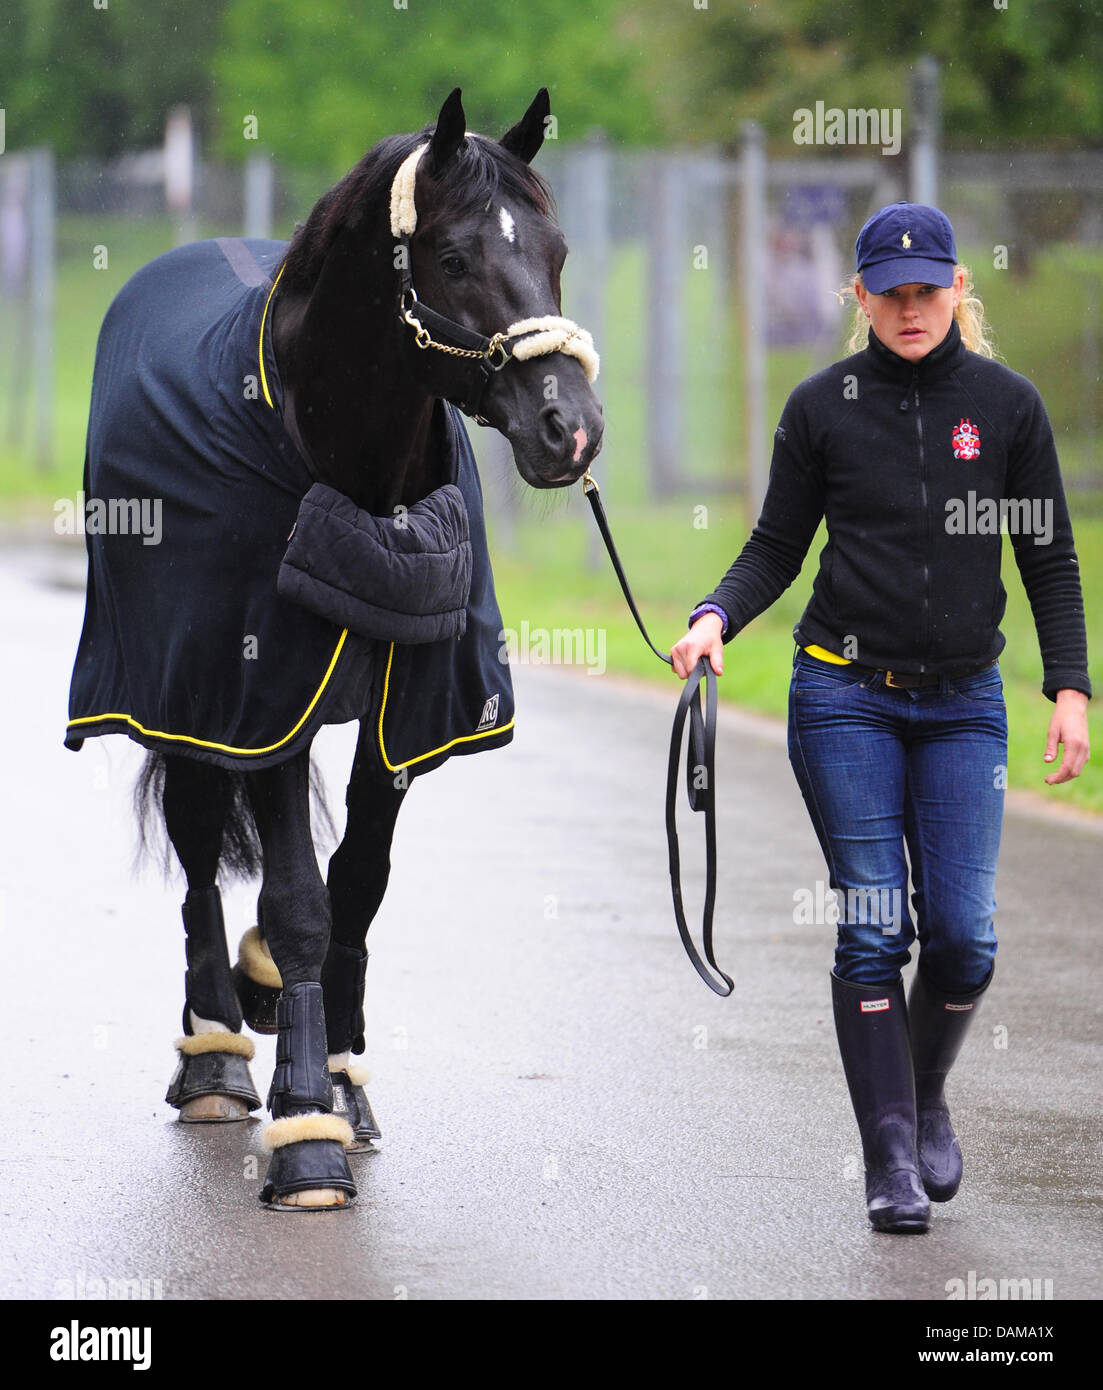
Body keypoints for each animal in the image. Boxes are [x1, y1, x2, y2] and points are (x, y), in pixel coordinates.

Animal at [64, 88, 604, 1209]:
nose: (568, 429)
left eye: (556, 249)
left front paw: (345, 1087)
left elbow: (357, 884)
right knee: (195, 851)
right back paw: (216, 1059)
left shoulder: (402, 717)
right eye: (452, 257)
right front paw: (305, 1135)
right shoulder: (264, 705)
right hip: (185, 705)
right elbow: (300, 903)